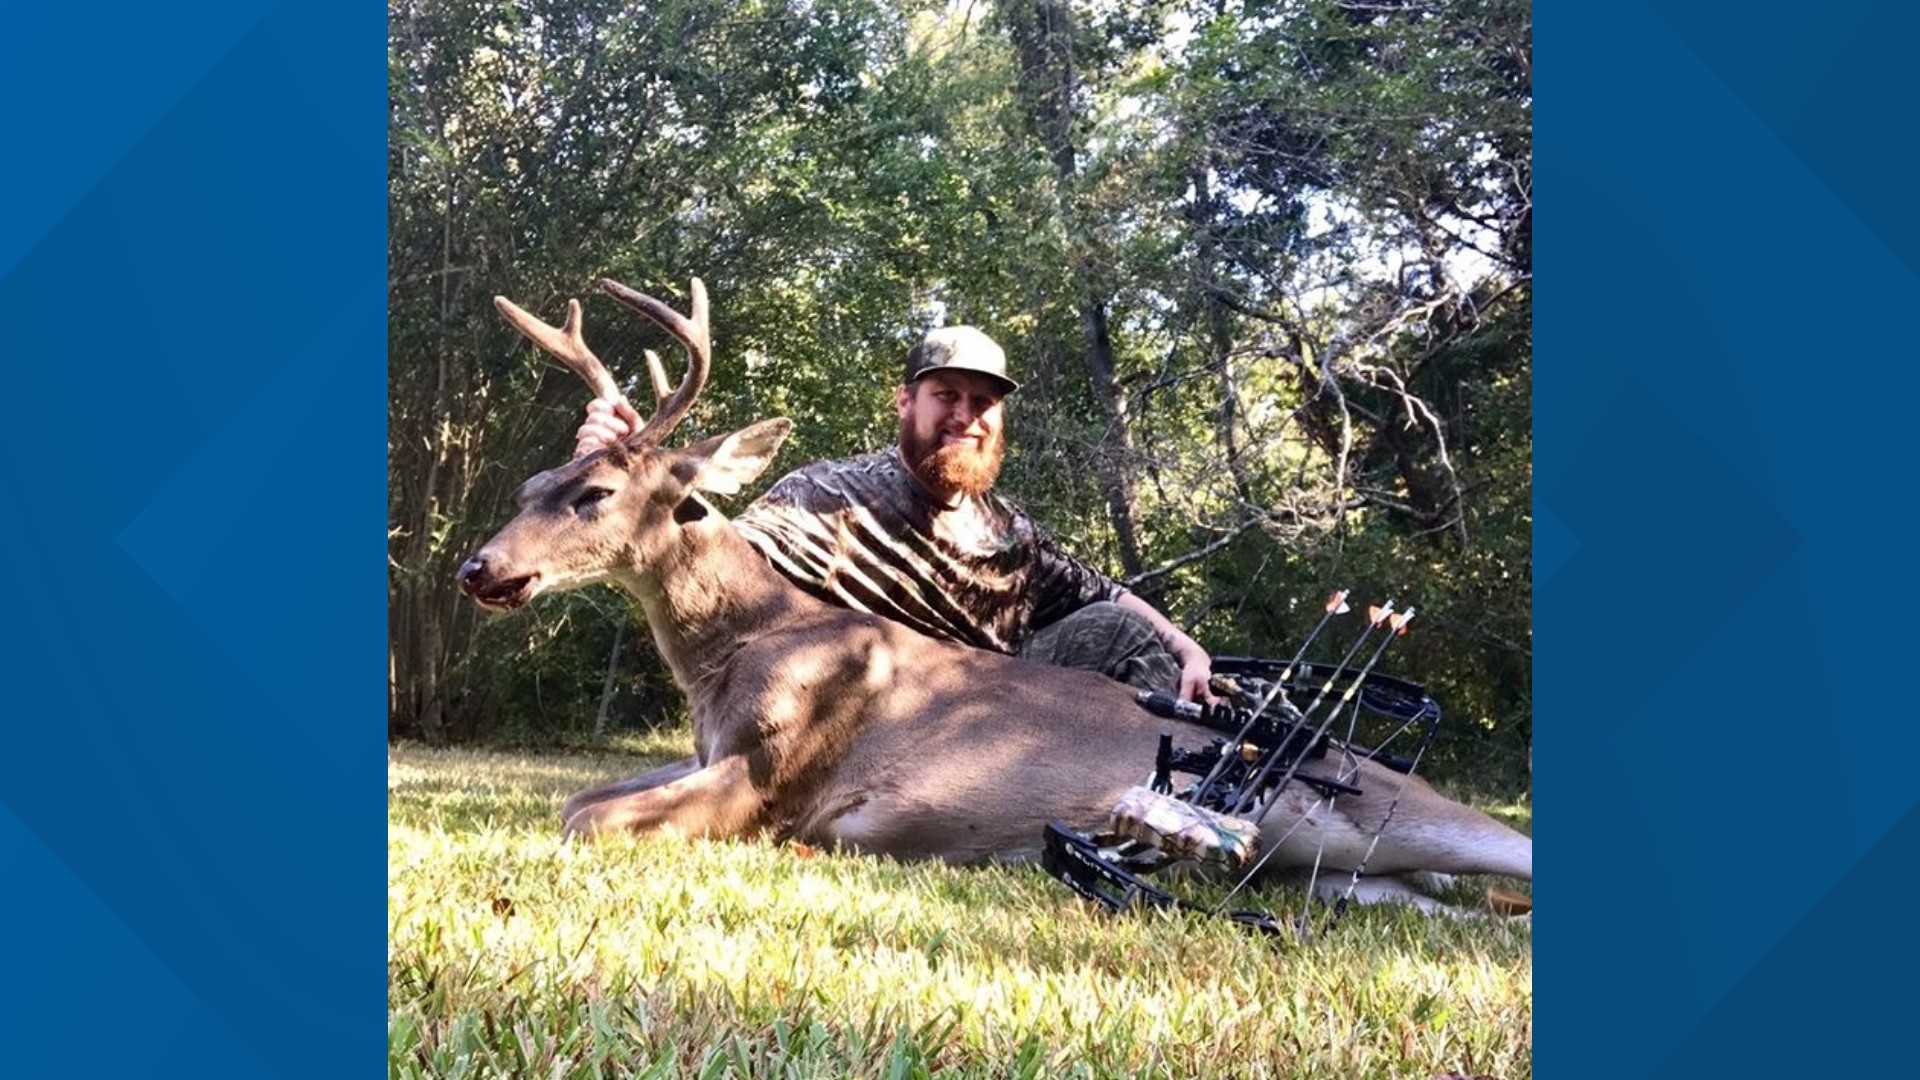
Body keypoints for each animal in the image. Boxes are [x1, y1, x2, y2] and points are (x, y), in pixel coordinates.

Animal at [456, 277, 1532, 915]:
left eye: (594, 494)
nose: (479, 568)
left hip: (1401, 805)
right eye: (529, 485)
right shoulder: (711, 756)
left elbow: (581, 817)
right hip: (1333, 869)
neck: (748, 645)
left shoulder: (773, 777)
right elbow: (578, 794)